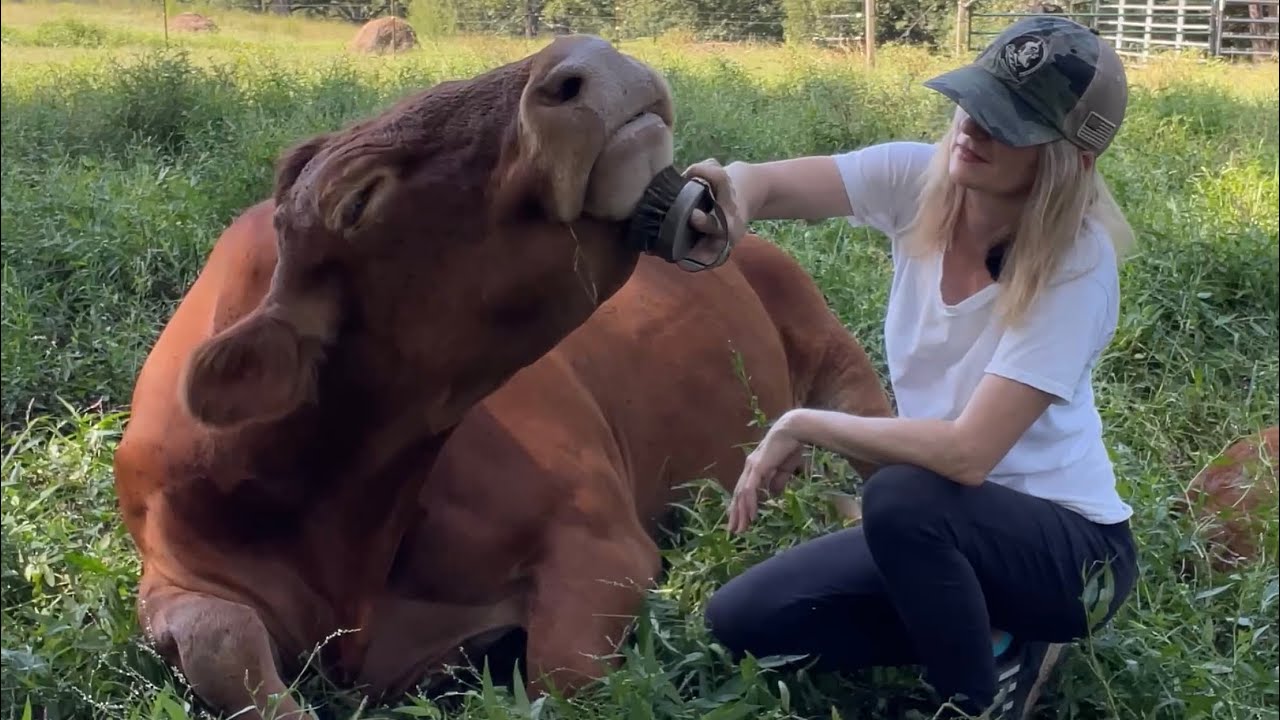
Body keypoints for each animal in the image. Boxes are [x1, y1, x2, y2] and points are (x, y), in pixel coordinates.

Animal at [111, 34, 893, 719]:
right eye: (358, 201)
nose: (591, 58)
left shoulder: (601, 539)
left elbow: (563, 678)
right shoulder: (174, 575)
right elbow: (221, 642)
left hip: (840, 358)